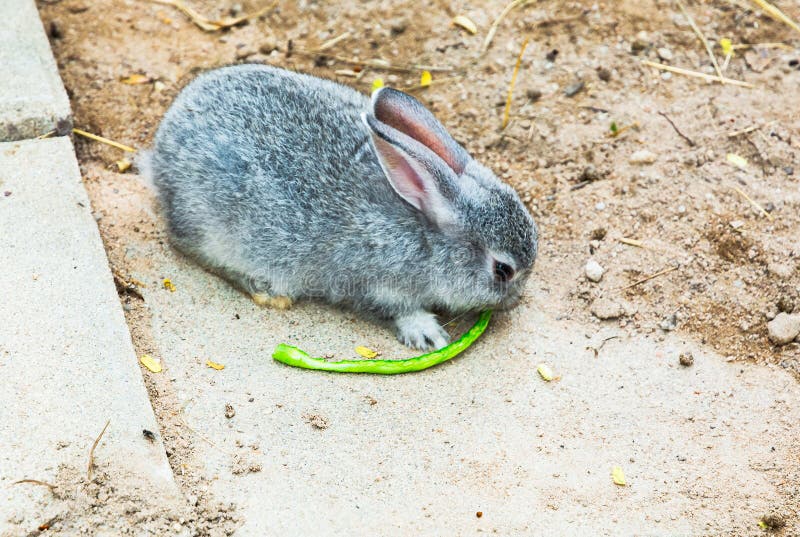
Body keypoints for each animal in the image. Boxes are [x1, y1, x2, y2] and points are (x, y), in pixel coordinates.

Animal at [145, 64, 538, 350]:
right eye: (503, 270)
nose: (516, 301)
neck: (426, 235)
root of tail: (161, 155)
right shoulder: (371, 280)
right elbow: (396, 308)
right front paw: (427, 332)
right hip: (215, 230)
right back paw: (265, 288)